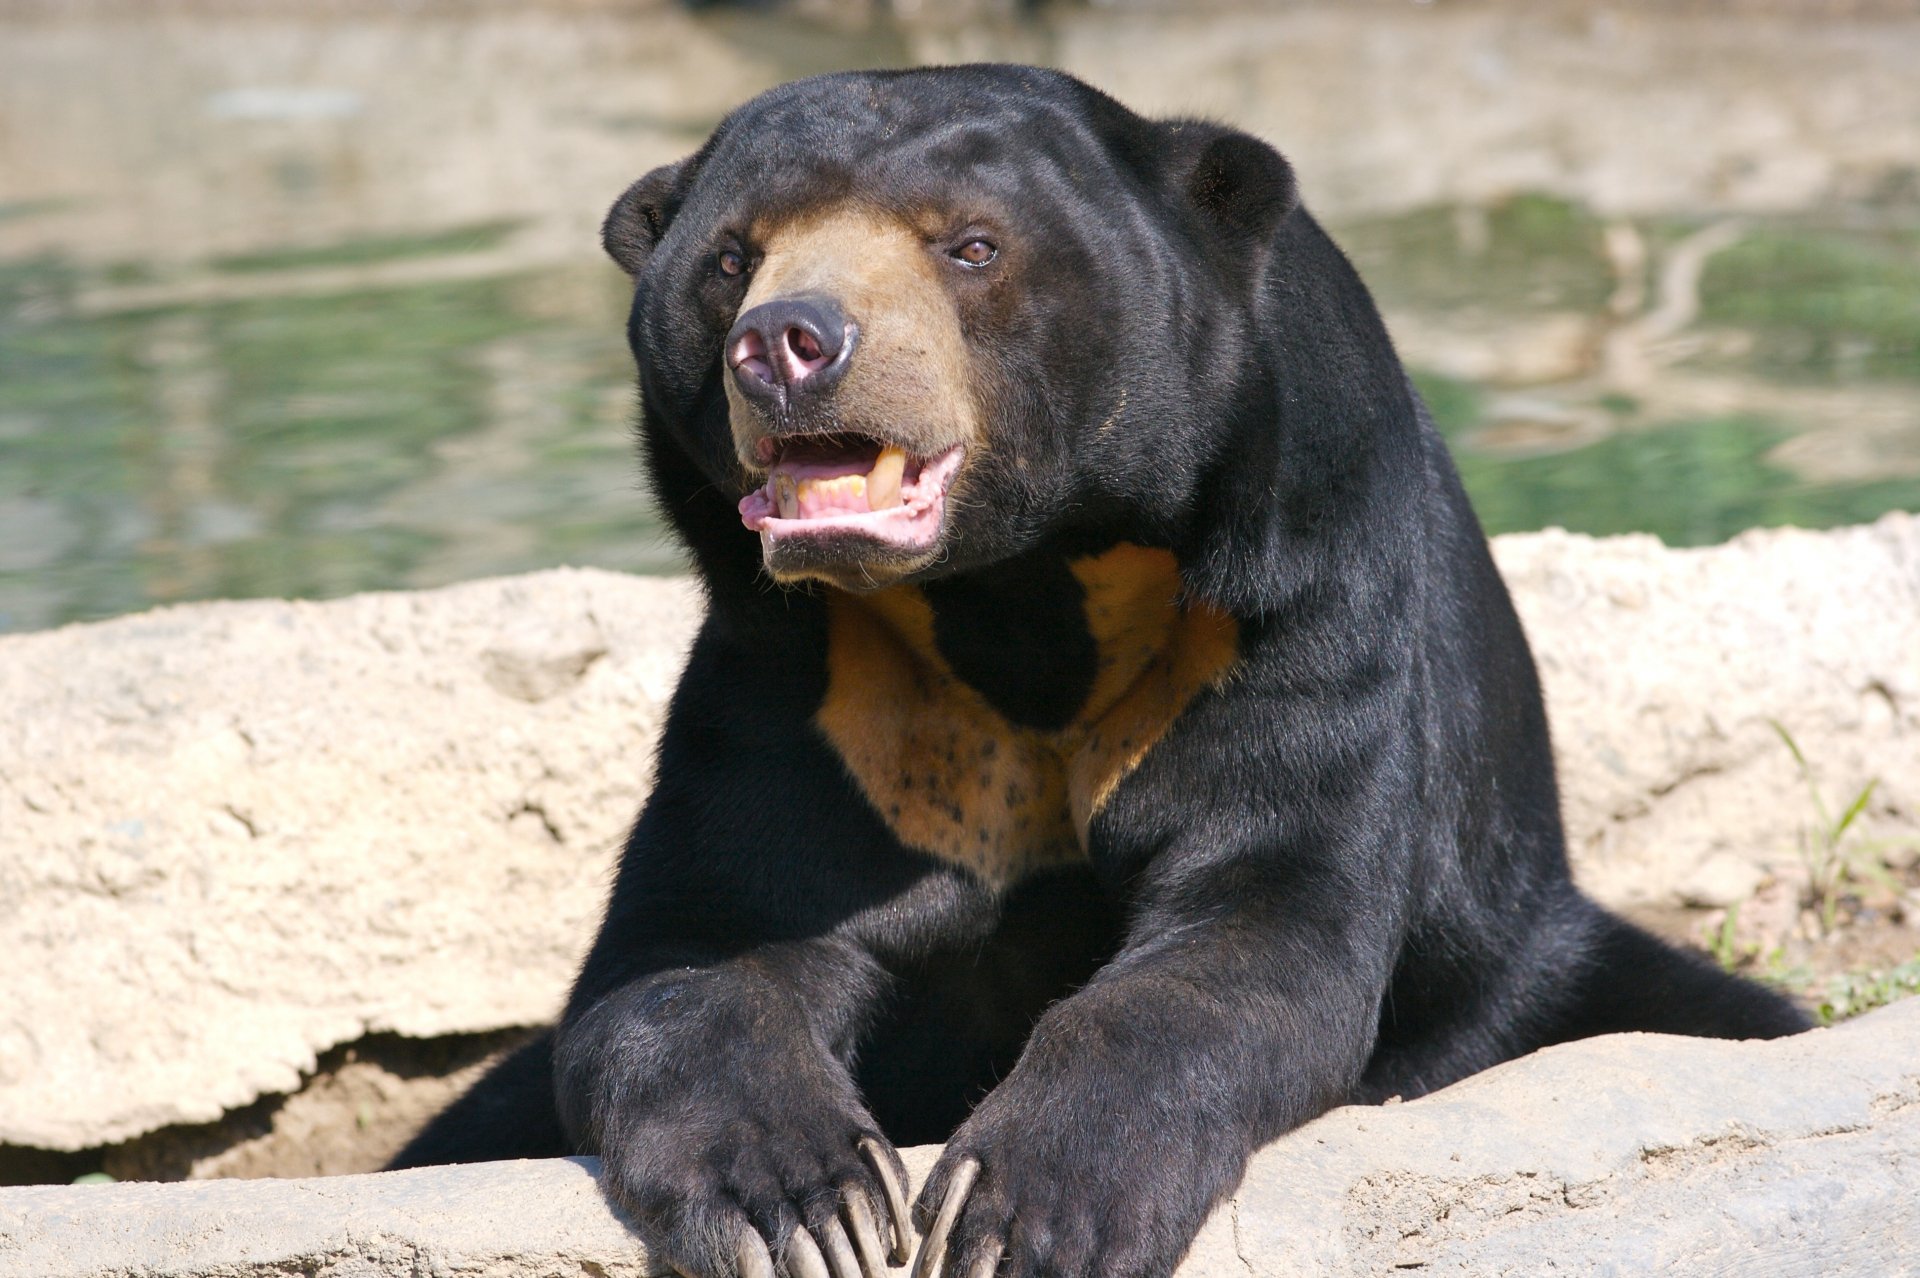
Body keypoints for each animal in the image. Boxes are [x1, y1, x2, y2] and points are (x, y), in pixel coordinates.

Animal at [394, 65, 1808, 1278]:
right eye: (732, 257)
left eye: (970, 246)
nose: (788, 343)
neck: (1017, 591)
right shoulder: (812, 684)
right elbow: (700, 945)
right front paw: (807, 1209)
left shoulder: (1290, 610)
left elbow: (1254, 923)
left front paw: (1019, 1213)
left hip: (1523, 946)